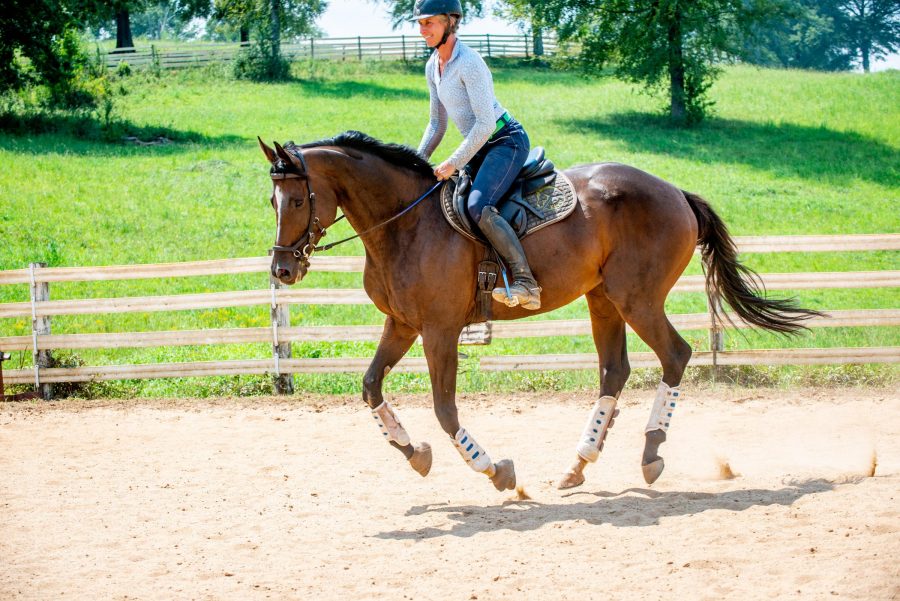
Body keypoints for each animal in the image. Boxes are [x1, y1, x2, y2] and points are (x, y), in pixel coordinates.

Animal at [259, 130, 819, 492]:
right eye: (271, 201)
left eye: (298, 200)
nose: (282, 269)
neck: (405, 223)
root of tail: (674, 191)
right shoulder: (402, 324)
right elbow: (371, 387)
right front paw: (415, 454)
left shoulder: (439, 330)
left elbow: (445, 410)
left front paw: (495, 471)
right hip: (603, 300)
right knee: (614, 371)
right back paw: (578, 466)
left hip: (637, 298)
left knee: (675, 355)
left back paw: (651, 453)